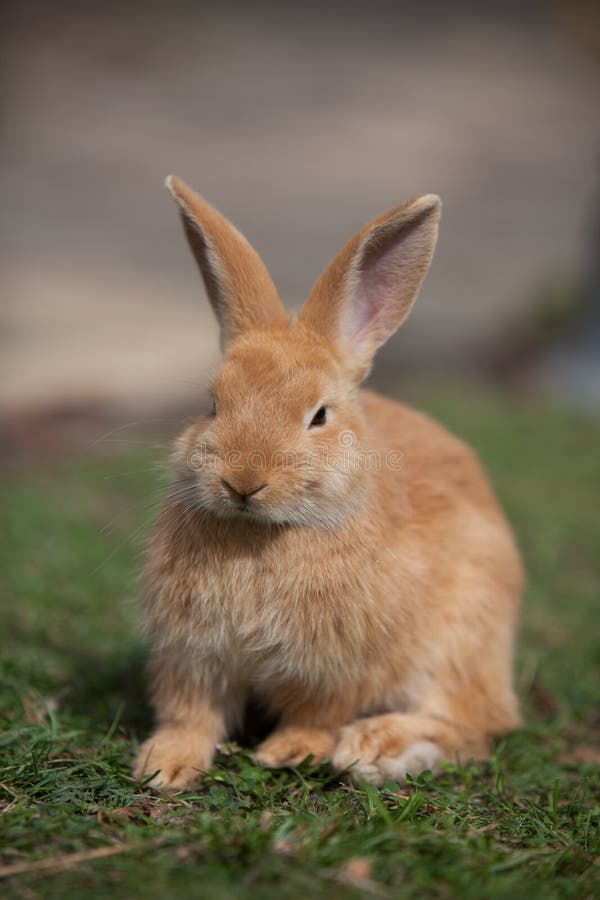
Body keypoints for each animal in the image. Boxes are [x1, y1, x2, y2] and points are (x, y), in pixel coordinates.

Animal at [133, 175, 523, 791]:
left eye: (318, 416)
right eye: (212, 404)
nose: (243, 481)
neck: (262, 536)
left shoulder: (334, 668)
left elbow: (316, 713)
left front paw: (291, 752)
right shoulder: (195, 657)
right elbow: (192, 714)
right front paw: (164, 766)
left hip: (462, 634)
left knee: (475, 726)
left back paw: (377, 747)